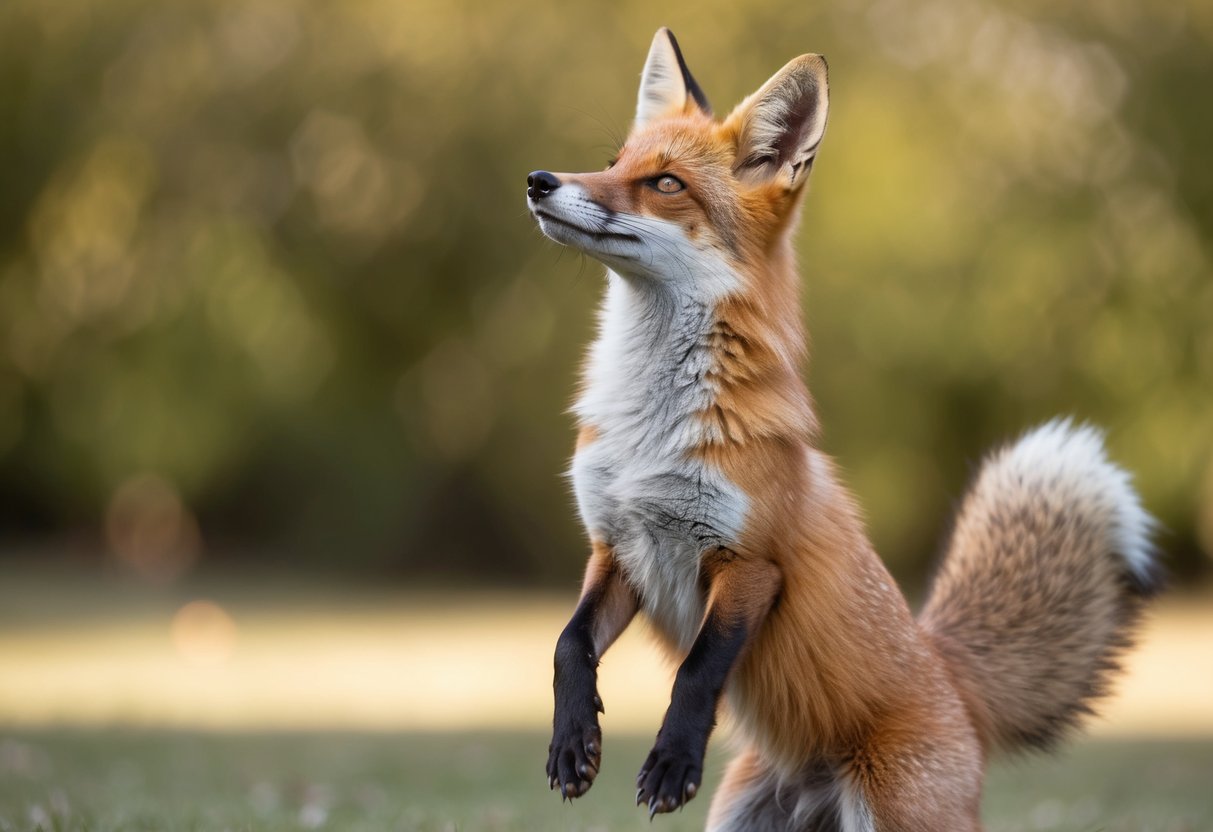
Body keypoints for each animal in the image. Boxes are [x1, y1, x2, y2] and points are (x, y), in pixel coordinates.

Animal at [527, 28, 1160, 831]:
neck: (652, 431)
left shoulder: (750, 562)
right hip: (739, 816)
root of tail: (948, 670)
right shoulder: (618, 547)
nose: (539, 180)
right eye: (612, 165)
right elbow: (567, 644)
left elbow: (698, 671)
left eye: (665, 184)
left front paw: (672, 760)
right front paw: (571, 744)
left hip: (895, 814)